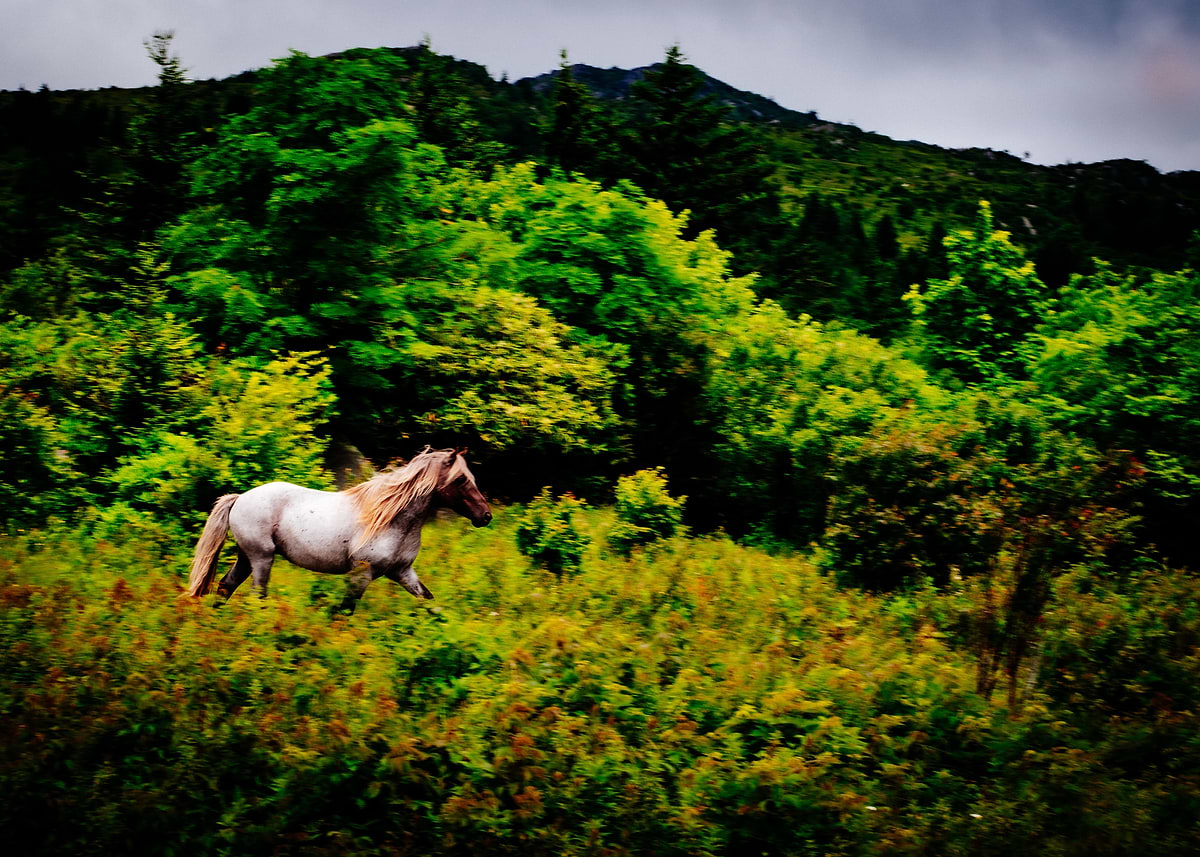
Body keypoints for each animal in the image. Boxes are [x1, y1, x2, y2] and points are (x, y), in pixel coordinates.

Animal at [185, 447, 492, 613]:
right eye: (461, 480)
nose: (485, 516)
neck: (392, 519)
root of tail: (239, 498)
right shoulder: (362, 574)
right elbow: (344, 611)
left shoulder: (402, 572)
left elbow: (429, 602)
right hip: (262, 558)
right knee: (256, 597)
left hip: (247, 557)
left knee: (225, 587)